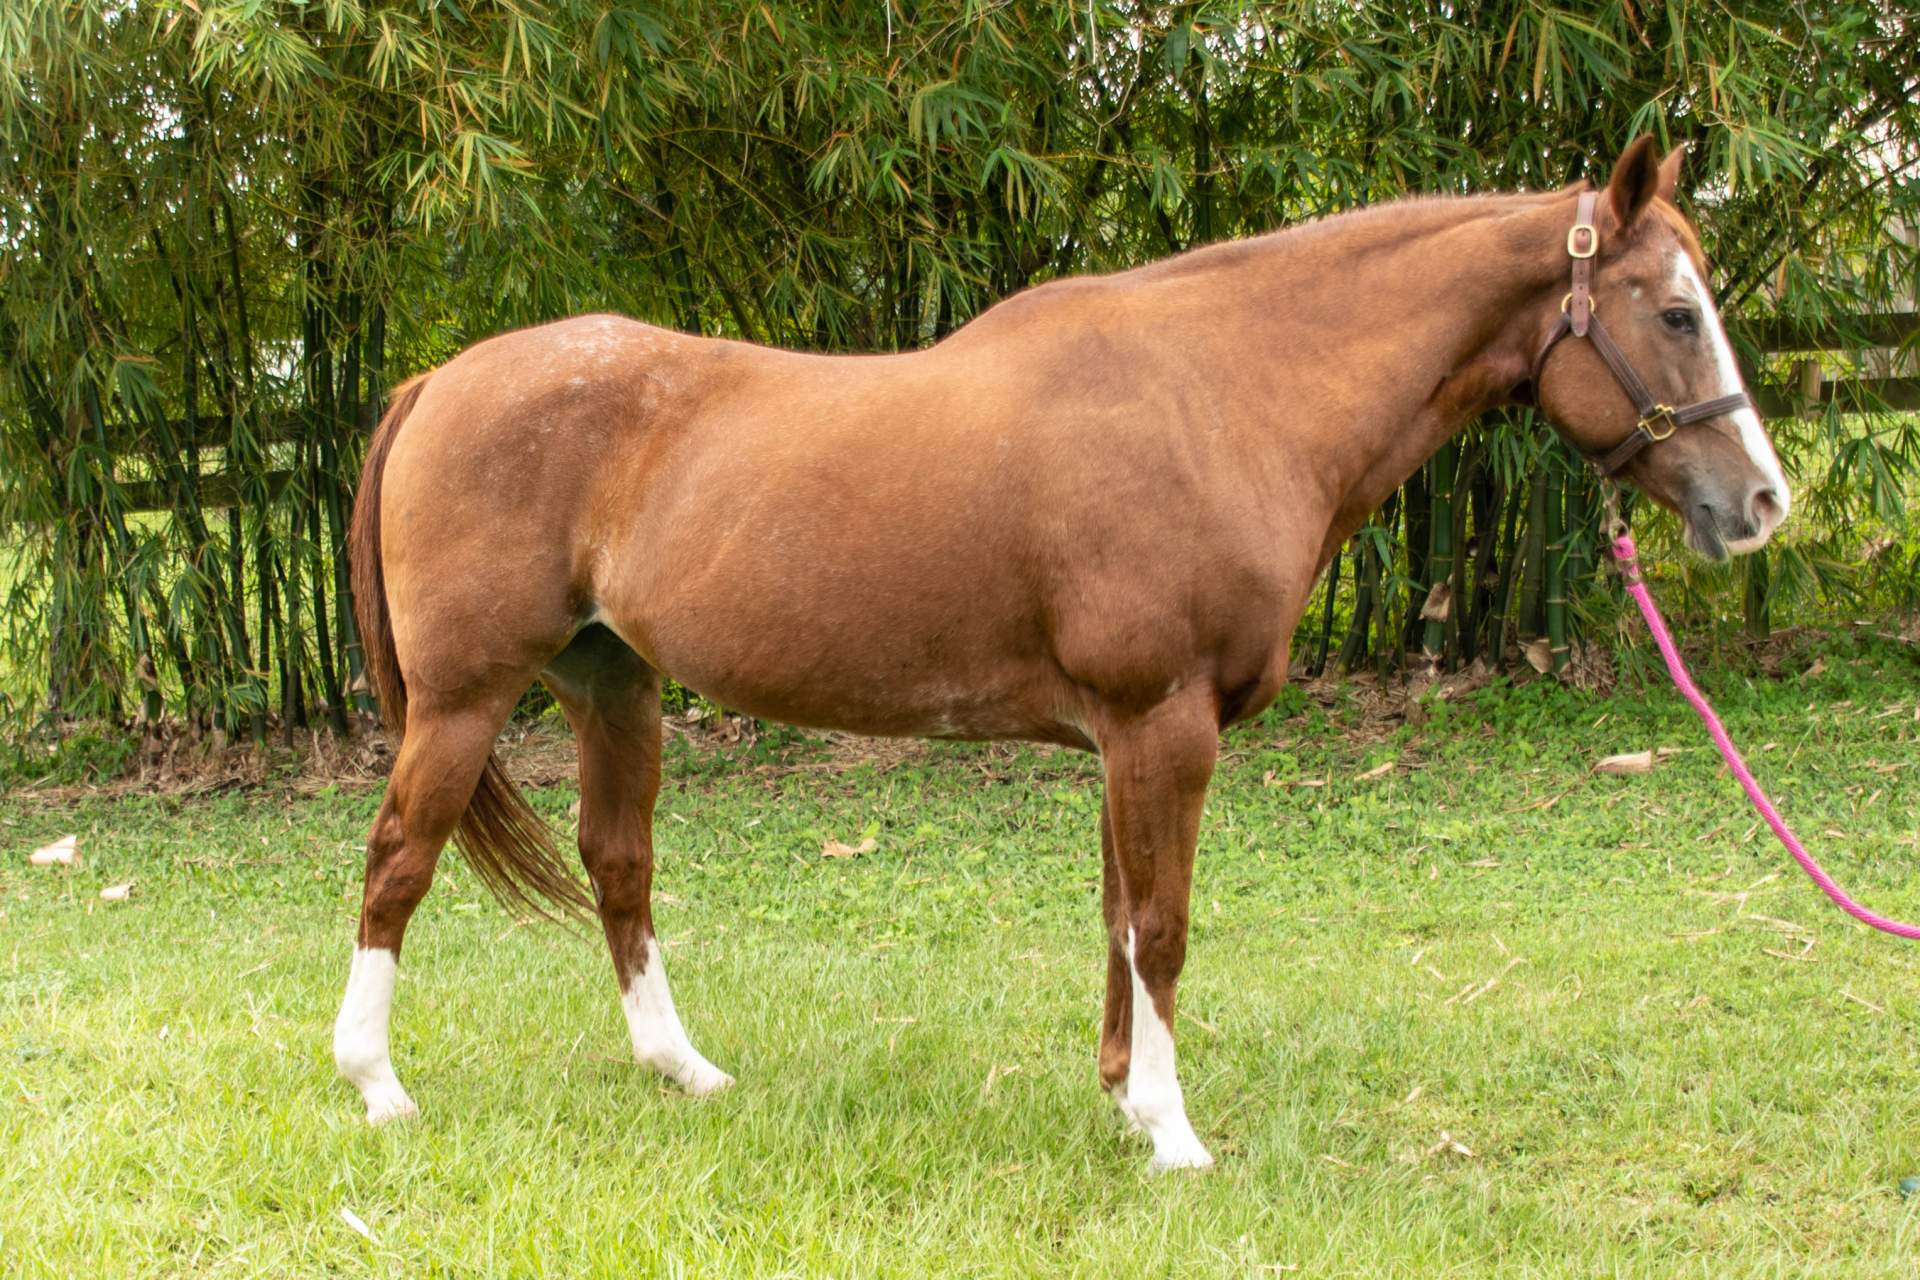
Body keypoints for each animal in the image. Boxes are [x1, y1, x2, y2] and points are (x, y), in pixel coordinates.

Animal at [333, 137, 1789, 1171]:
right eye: (1674, 312)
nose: (1764, 501)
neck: (1226, 396)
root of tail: (440, 379)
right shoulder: (1163, 724)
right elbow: (1163, 925)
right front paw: (1176, 1134)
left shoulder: (1122, 736)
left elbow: (1117, 917)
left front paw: (1128, 1104)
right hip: (464, 699)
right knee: (399, 860)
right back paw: (378, 1087)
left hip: (612, 682)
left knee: (619, 864)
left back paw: (681, 1069)